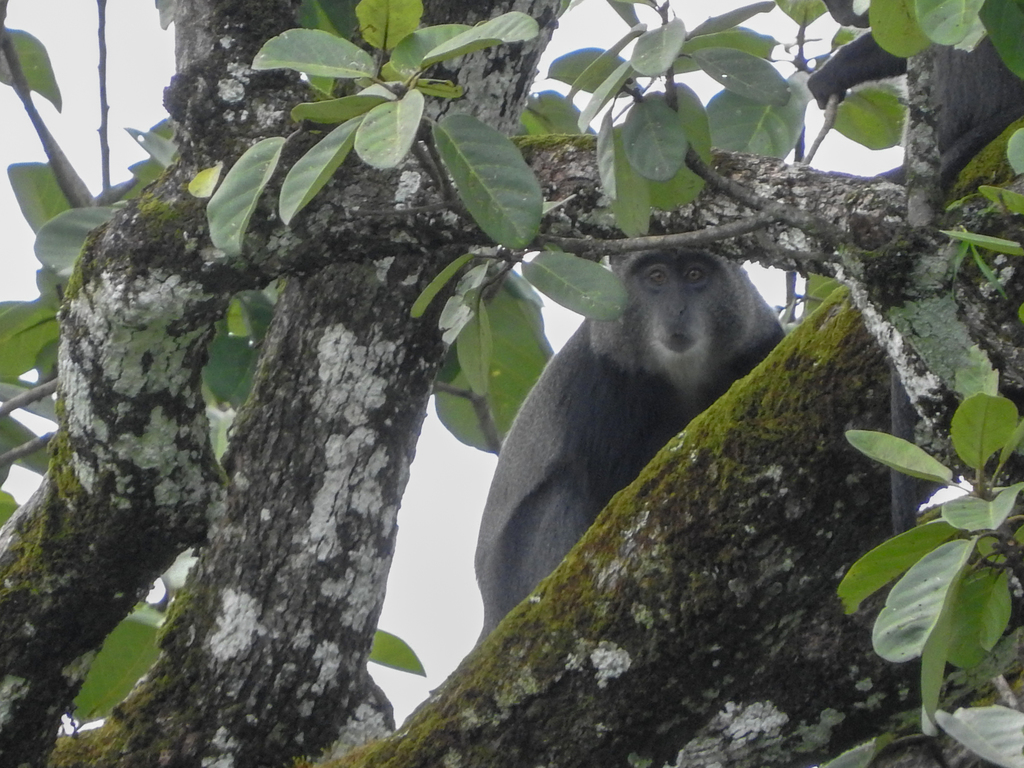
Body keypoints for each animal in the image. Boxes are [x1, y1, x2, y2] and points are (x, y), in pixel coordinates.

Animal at [474, 250, 784, 636]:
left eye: (695, 274)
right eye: (656, 277)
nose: (677, 310)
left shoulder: (760, 346)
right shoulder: (602, 380)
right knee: (564, 487)